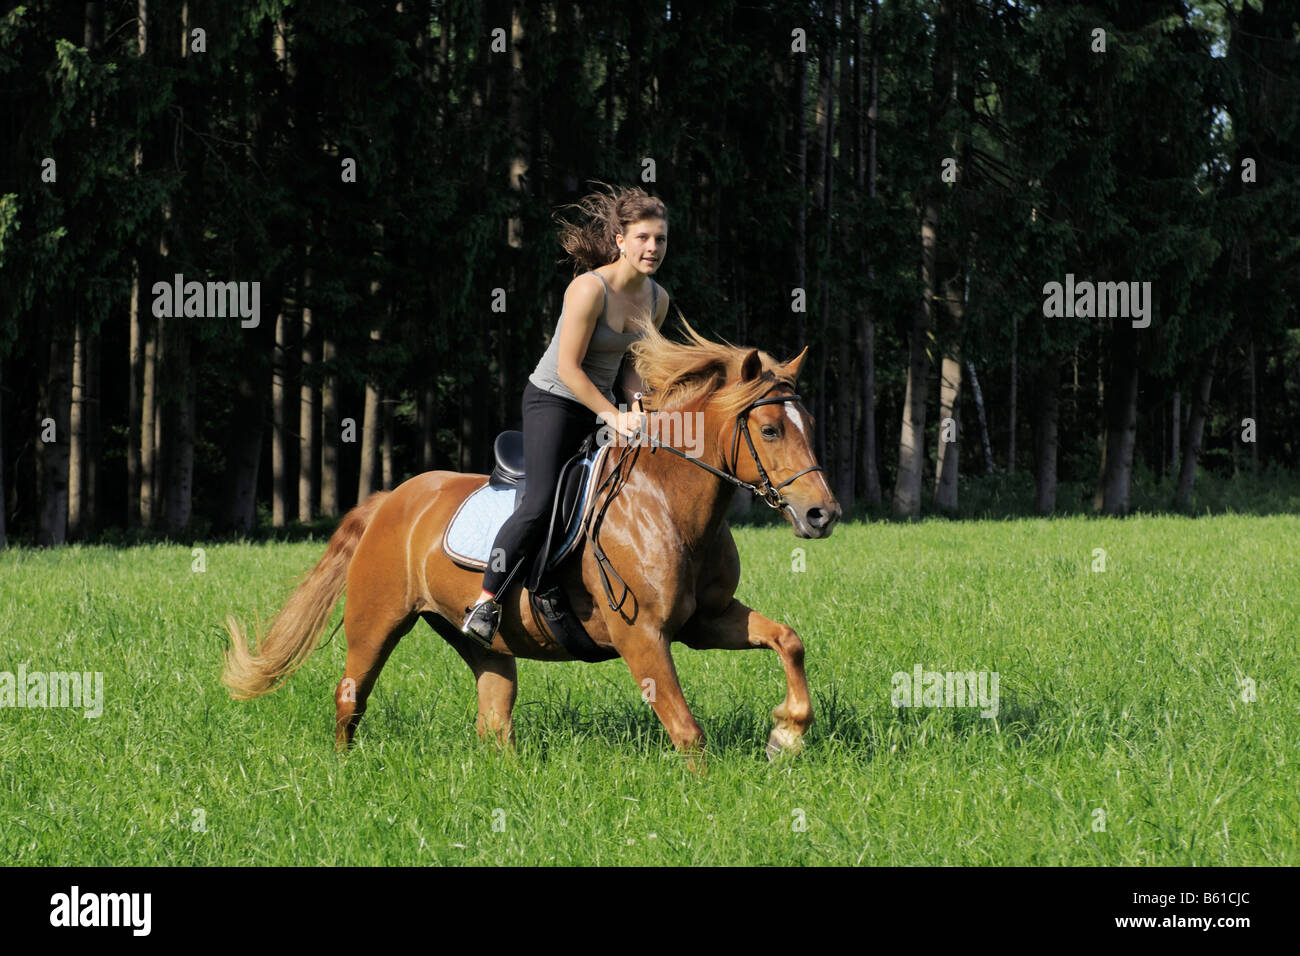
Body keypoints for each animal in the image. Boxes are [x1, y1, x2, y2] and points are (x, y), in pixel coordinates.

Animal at [222, 321, 841, 768]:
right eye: (769, 431)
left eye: (809, 424)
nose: (823, 514)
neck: (667, 503)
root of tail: (390, 500)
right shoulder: (642, 635)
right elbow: (687, 731)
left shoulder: (704, 621)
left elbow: (787, 640)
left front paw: (786, 735)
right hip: (376, 621)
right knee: (351, 695)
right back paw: (343, 772)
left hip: (480, 640)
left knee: (494, 716)